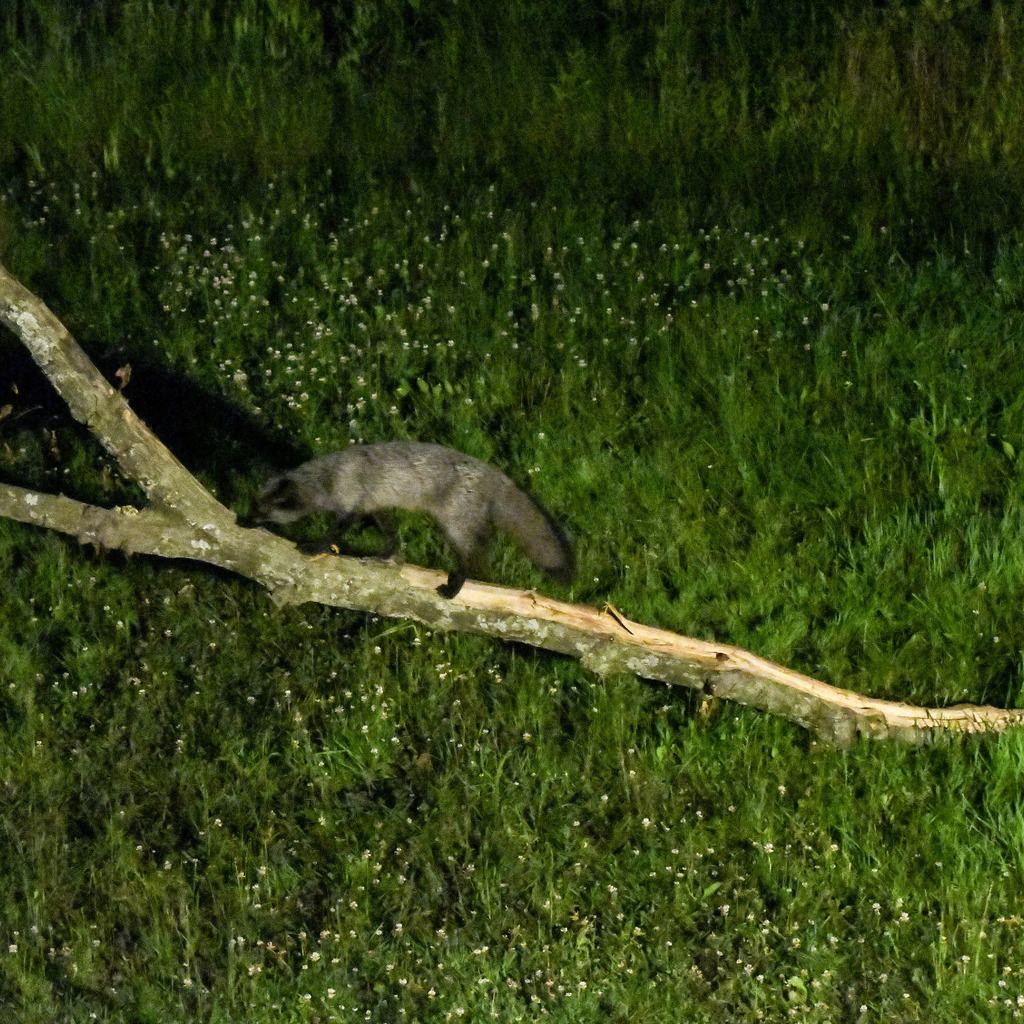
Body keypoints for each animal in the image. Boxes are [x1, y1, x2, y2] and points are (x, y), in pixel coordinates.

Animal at [255, 441, 575, 598]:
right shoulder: (373, 506)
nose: (245, 521)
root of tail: (492, 472)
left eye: (261, 512)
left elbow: (332, 533)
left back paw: (455, 588)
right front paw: (386, 556)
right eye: (252, 505)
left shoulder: (351, 508)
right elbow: (391, 536)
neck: (328, 477)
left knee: (474, 559)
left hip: (453, 527)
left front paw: (313, 547)